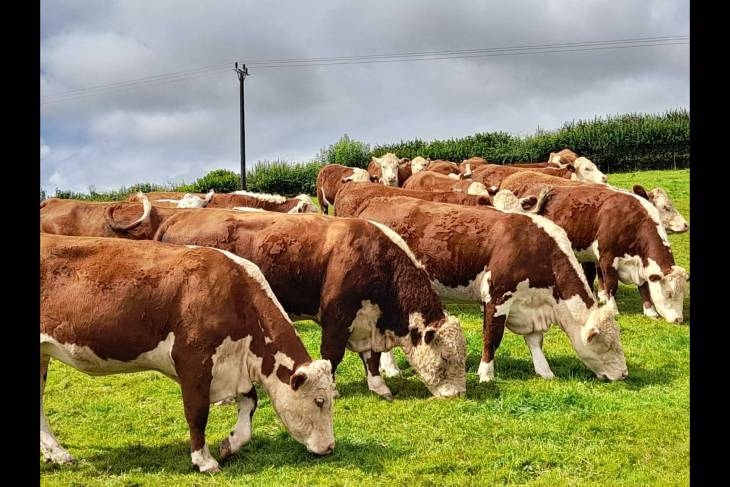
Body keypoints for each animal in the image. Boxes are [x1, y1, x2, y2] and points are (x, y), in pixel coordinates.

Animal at [41, 234, 335, 472]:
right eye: (319, 401)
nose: (330, 447)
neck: (237, 293)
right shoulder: (194, 360)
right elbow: (197, 412)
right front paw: (204, 460)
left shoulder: (234, 367)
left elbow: (250, 402)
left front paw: (230, 444)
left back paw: (58, 455)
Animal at [338, 196, 628, 382]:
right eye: (608, 344)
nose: (625, 374)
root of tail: (373, 204)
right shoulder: (497, 296)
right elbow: (492, 337)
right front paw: (486, 375)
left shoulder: (529, 303)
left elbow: (535, 340)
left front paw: (544, 371)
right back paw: (391, 368)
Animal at [499, 171, 688, 323]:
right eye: (669, 293)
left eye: (683, 295)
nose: (678, 320)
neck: (631, 219)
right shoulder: (607, 258)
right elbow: (611, 285)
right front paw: (612, 308)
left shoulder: (639, 262)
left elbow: (643, 287)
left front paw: (650, 311)